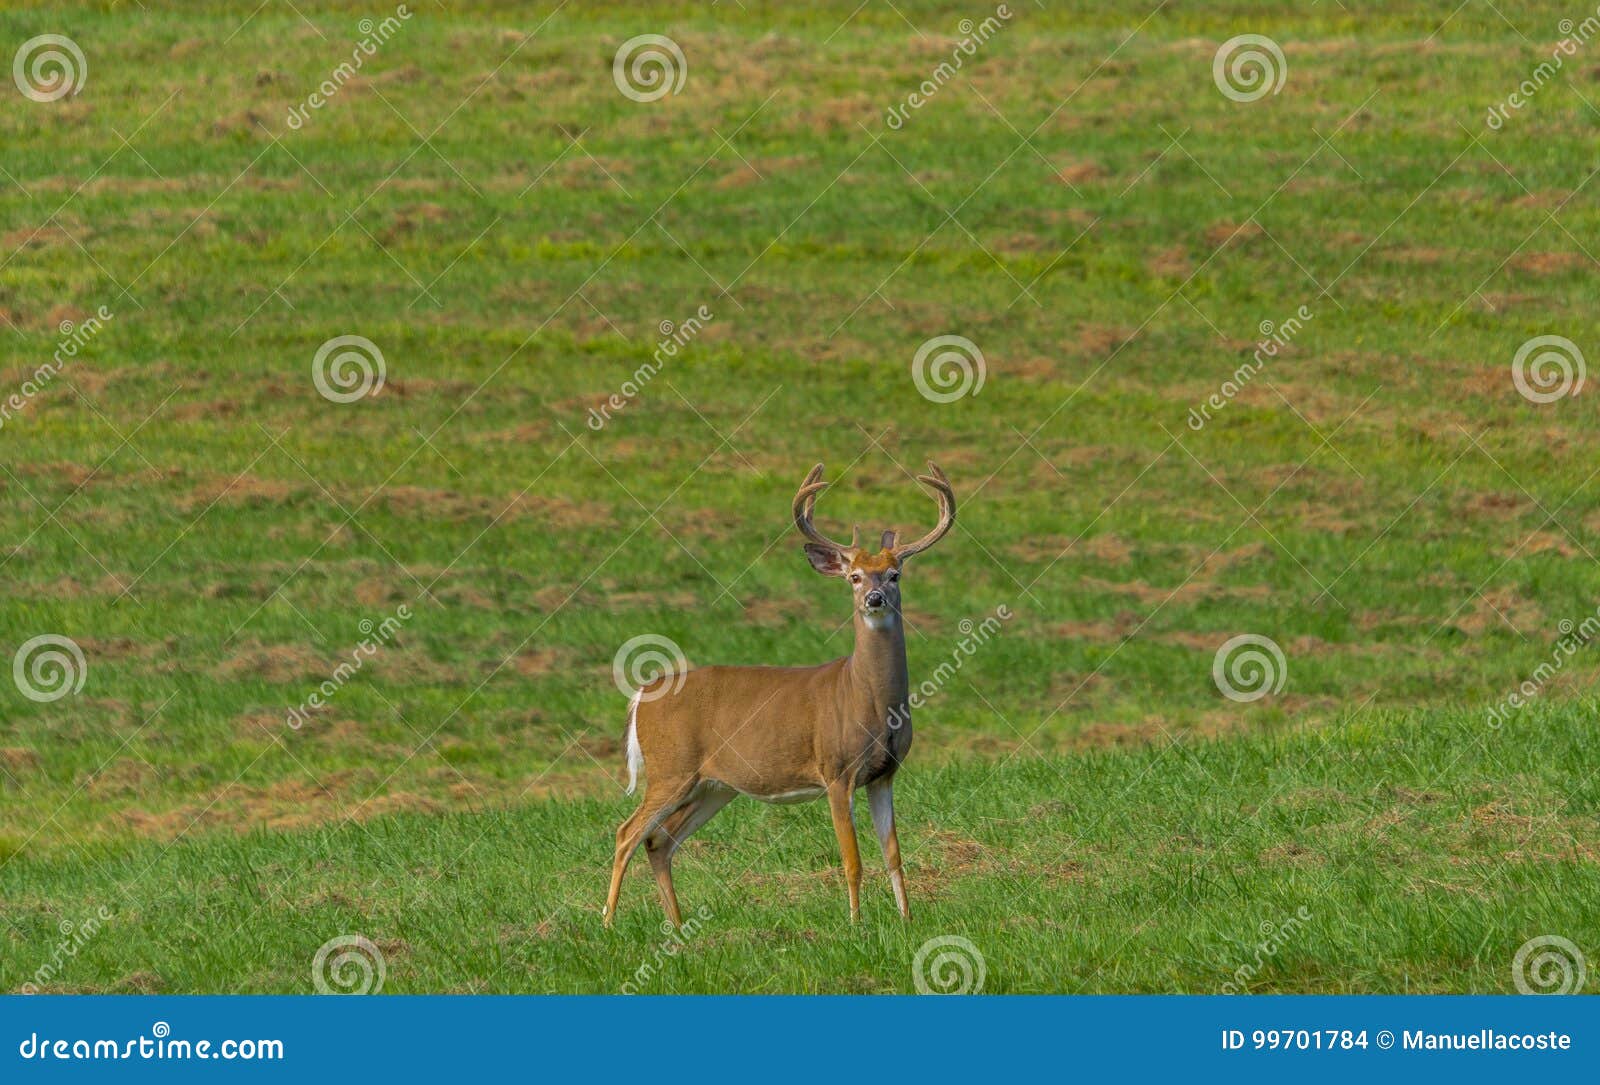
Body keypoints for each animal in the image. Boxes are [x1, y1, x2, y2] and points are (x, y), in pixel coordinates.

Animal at [602, 461, 956, 928]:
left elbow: (893, 855)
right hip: (670, 768)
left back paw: (677, 926)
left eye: (895, 574)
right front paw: (856, 924)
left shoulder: (884, 773)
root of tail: (642, 694)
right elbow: (853, 860)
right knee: (627, 832)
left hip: (713, 785)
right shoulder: (836, 769)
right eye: (854, 577)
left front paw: (906, 920)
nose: (875, 598)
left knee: (659, 840)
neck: (867, 697)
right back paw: (608, 922)